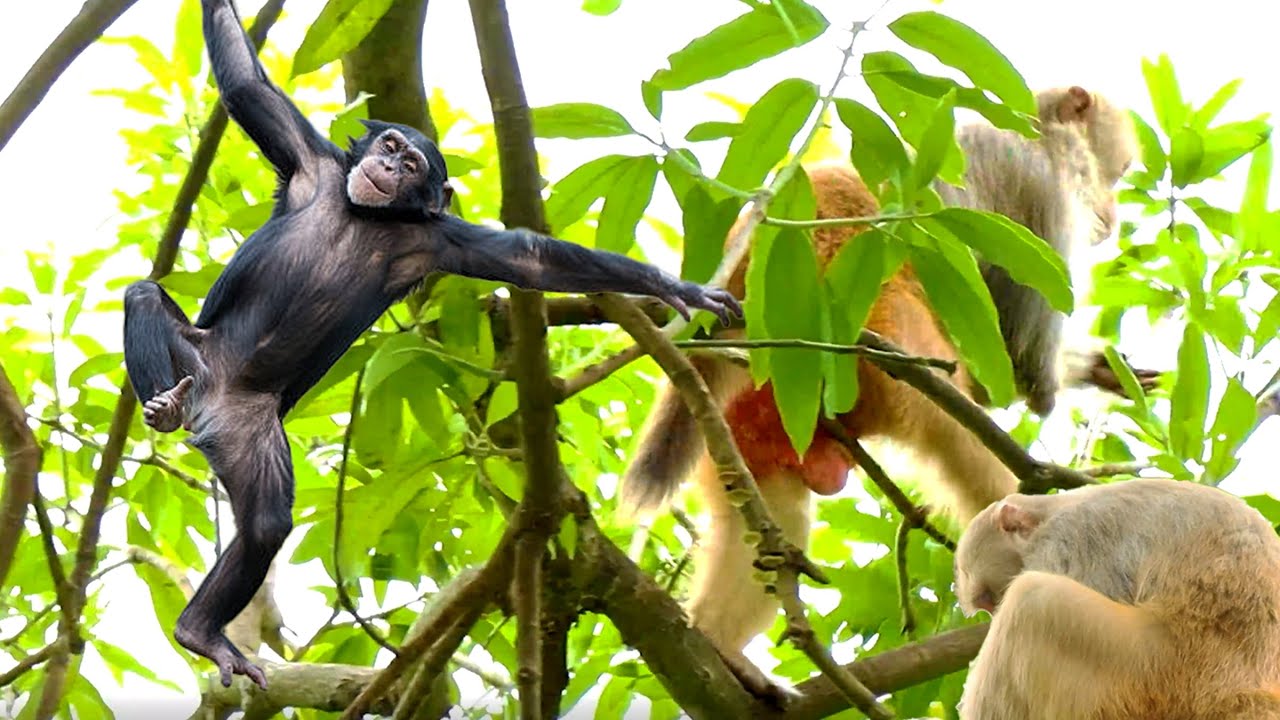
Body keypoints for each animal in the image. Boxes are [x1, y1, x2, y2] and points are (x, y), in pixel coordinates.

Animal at [122, 0, 741, 689]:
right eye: (390, 145)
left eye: (413, 165)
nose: (391, 165)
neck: (367, 214)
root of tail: (209, 410)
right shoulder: (309, 160)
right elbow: (244, 85)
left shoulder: (441, 241)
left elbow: (530, 259)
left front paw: (675, 287)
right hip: (198, 364)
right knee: (143, 299)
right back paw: (162, 407)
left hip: (250, 430)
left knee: (265, 524)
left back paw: (199, 629)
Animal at [619, 86, 1146, 670]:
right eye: (1117, 174)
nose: (1111, 216)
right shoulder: (1039, 183)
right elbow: (1021, 366)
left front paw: (1104, 368)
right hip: (884, 335)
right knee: (960, 432)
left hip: (743, 416)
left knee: (770, 520)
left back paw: (719, 652)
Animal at [955, 479, 1280, 720]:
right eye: (987, 606)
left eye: (992, 600)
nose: (993, 616)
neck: (1051, 512)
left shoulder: (1069, 540)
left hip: (1161, 675)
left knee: (1034, 600)